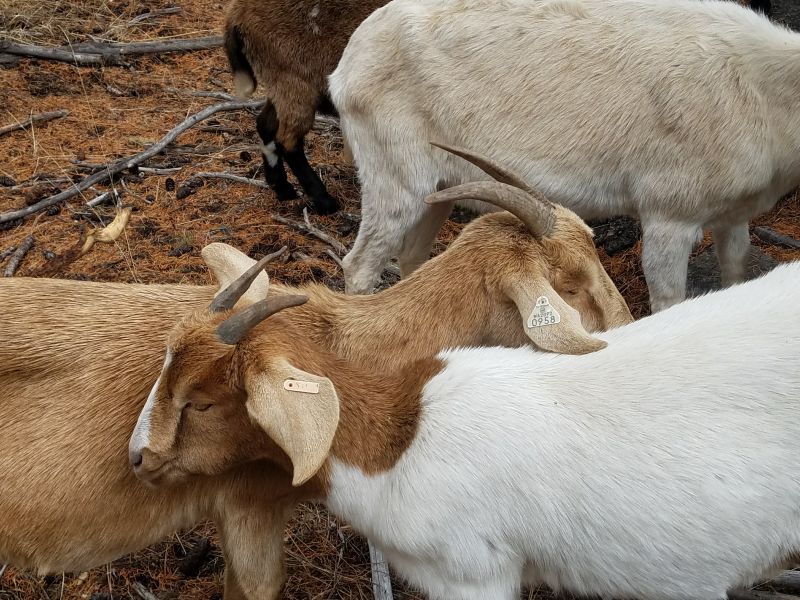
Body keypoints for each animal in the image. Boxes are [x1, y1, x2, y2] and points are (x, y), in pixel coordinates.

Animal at [223, 0, 387, 215]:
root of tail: (237, 12)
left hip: (281, 84)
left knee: (265, 124)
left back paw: (282, 188)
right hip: (295, 81)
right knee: (288, 141)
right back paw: (324, 201)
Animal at [329, 0, 798, 310]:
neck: (763, 91)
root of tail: (344, 66)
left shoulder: (733, 216)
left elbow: (735, 274)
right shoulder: (669, 214)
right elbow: (669, 301)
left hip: (438, 190)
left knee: (413, 256)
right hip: (393, 177)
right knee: (359, 264)